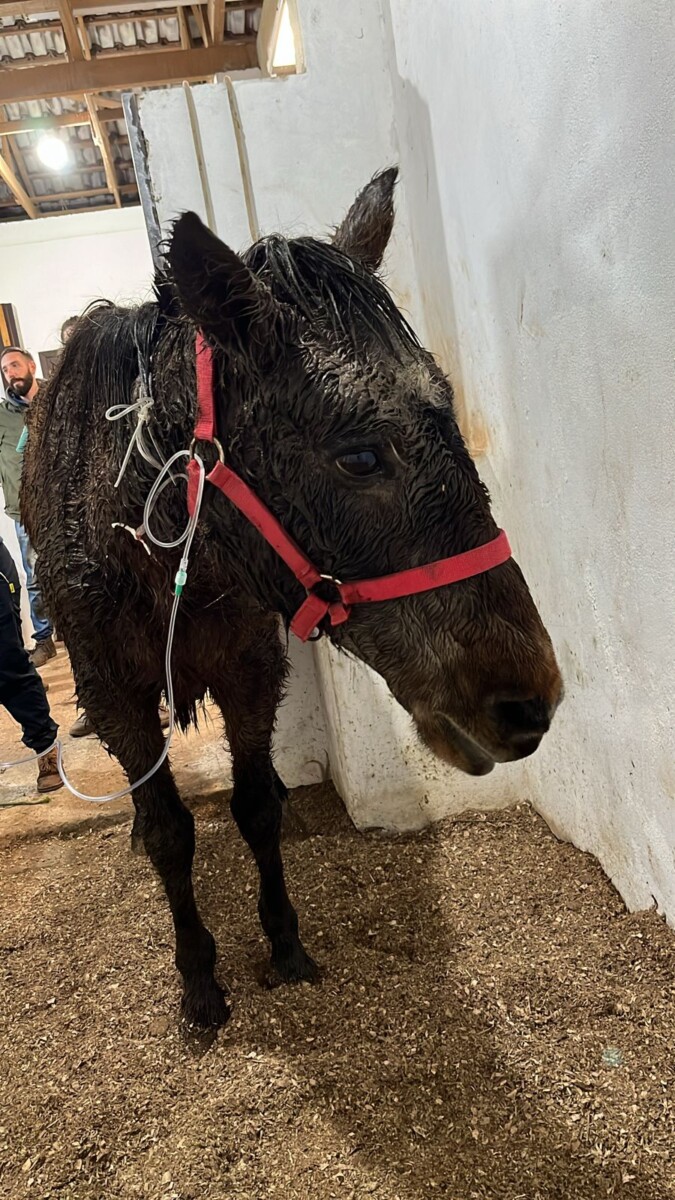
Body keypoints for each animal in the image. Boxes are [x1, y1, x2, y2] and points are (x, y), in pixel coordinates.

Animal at [22, 169, 562, 1028]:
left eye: (449, 415)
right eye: (359, 457)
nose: (528, 702)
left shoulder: (250, 670)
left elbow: (255, 808)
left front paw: (281, 940)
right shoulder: (116, 694)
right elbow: (171, 831)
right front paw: (199, 977)